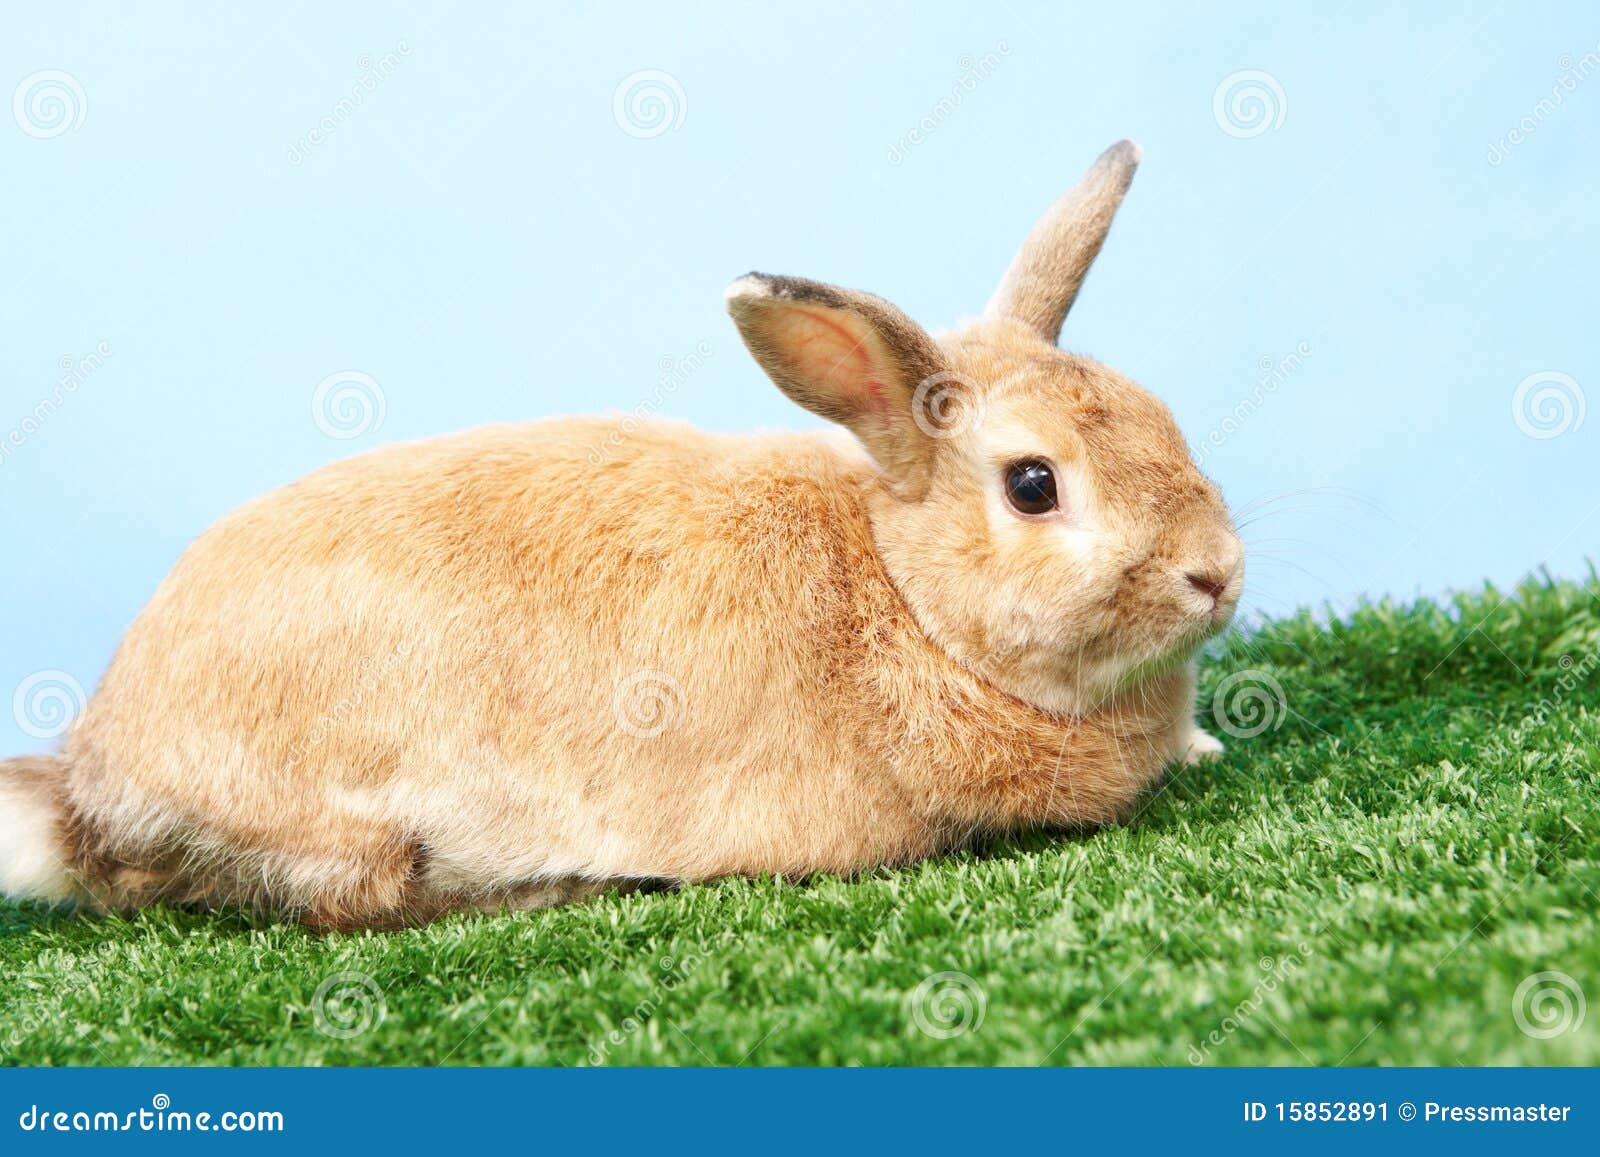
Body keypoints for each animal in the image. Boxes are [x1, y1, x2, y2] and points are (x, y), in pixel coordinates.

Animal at [0, 140, 1242, 930]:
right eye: (1032, 485)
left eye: (1160, 415)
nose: (1218, 575)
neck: (901, 595)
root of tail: (92, 785)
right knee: (350, 905)